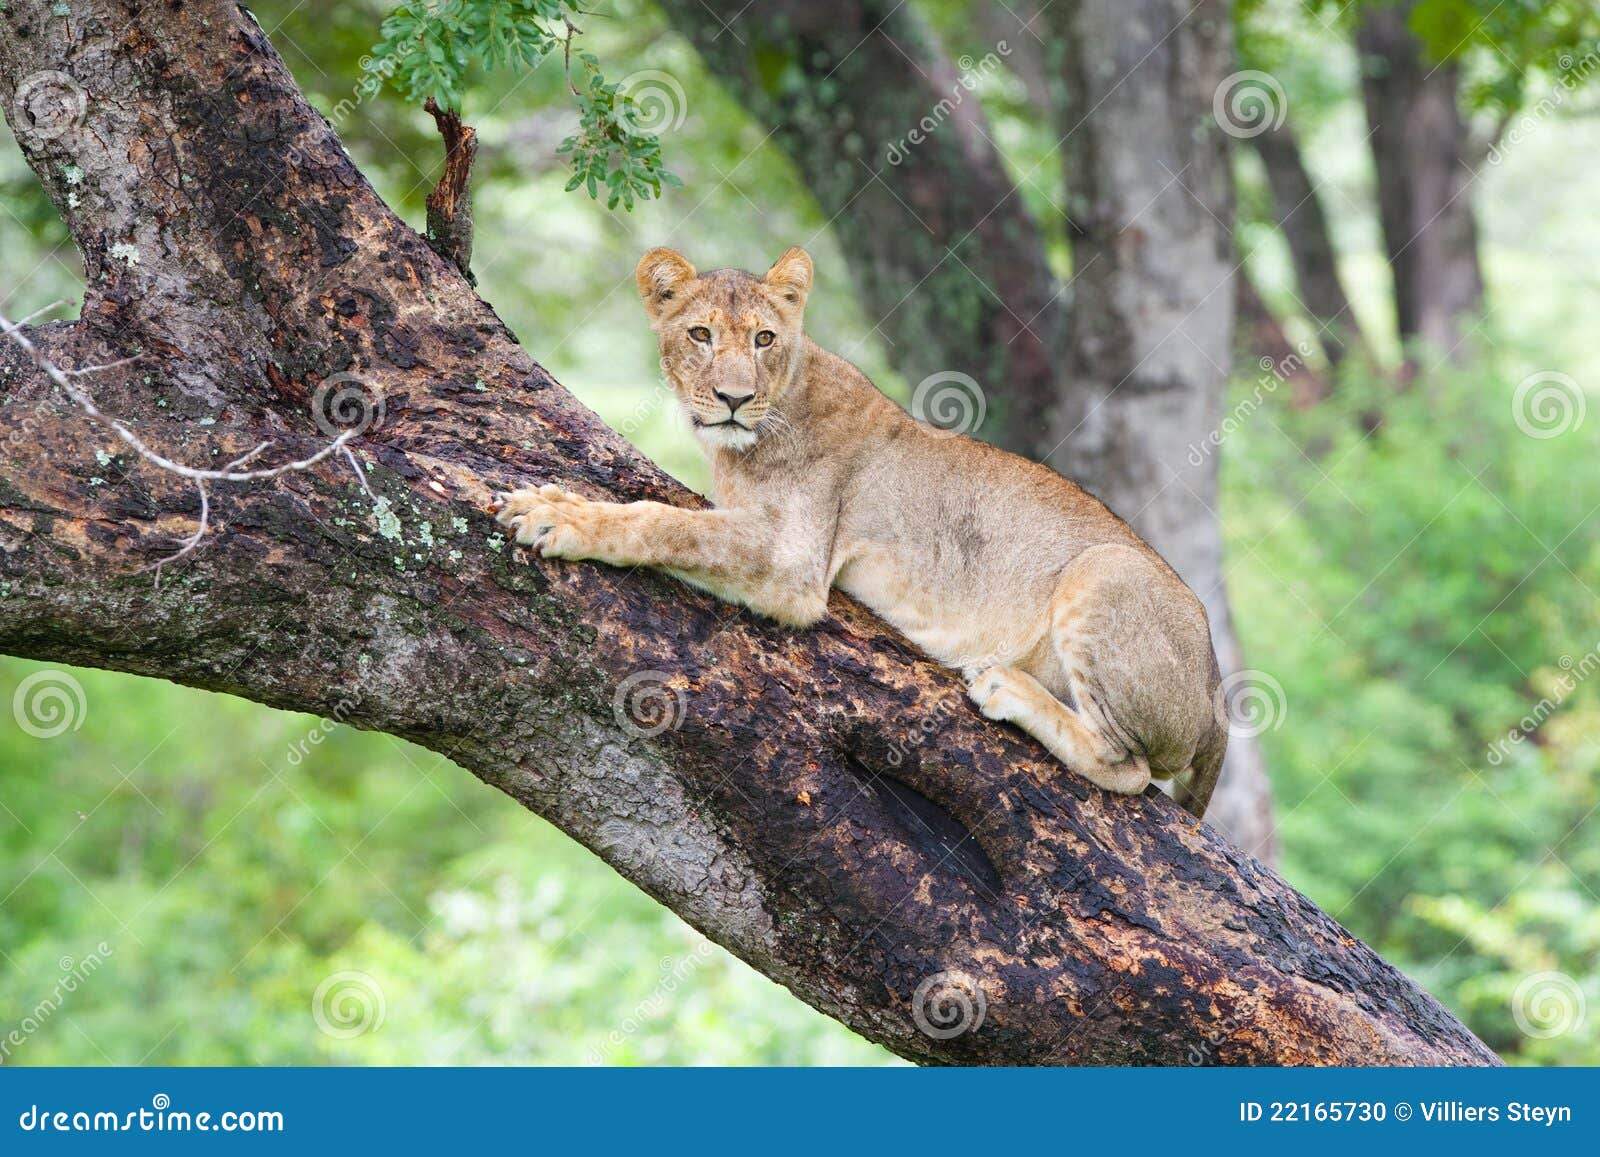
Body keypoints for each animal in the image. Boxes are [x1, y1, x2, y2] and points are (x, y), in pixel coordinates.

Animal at [492, 246, 1228, 816]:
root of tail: (1218, 693)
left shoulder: (793, 563)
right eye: (700, 335)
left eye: (763, 339)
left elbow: (662, 523)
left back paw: (1008, 688)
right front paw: (556, 495)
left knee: (1130, 769)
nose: (732, 398)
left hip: (1106, 569)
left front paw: (560, 516)